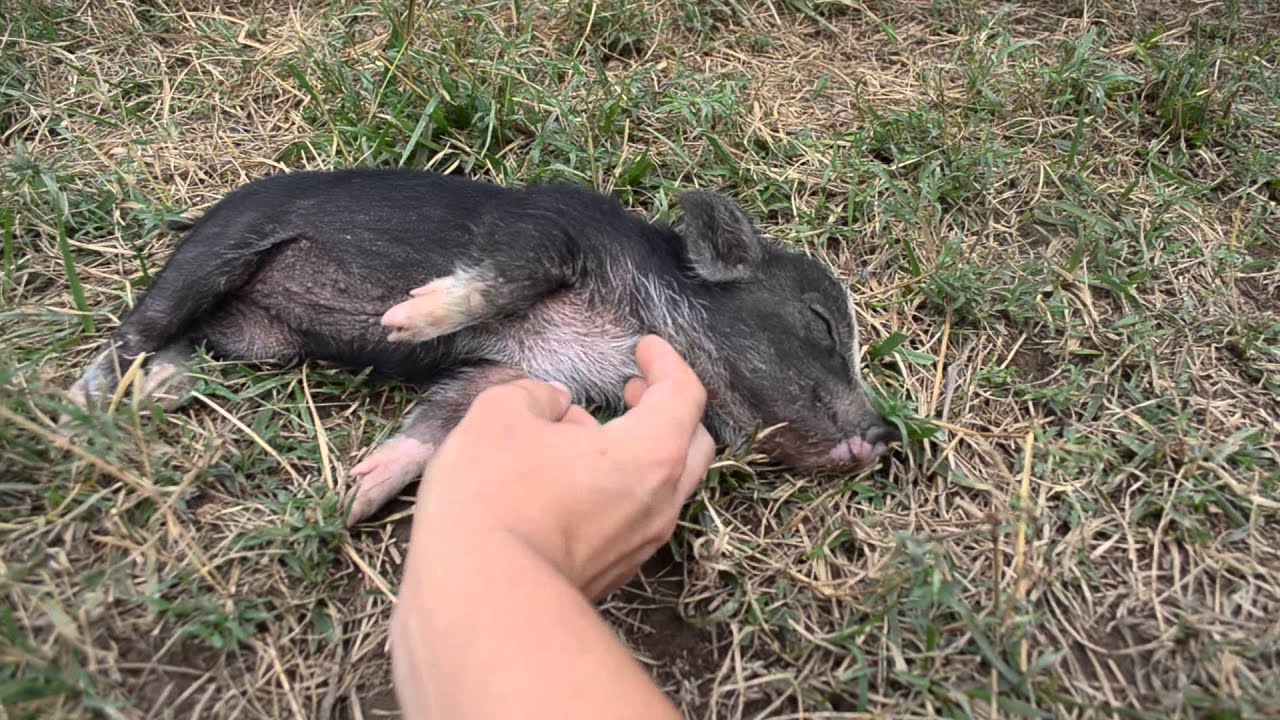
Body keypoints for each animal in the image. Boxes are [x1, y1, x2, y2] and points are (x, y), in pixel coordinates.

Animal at [64, 168, 900, 525]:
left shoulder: (505, 376)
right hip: (220, 252)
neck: (637, 327)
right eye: (823, 323)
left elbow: (436, 424)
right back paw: (81, 409)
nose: (888, 434)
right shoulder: (553, 232)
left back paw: (162, 389)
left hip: (260, 339)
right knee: (137, 328)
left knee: (187, 341)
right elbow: (504, 275)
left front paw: (353, 497)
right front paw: (406, 320)